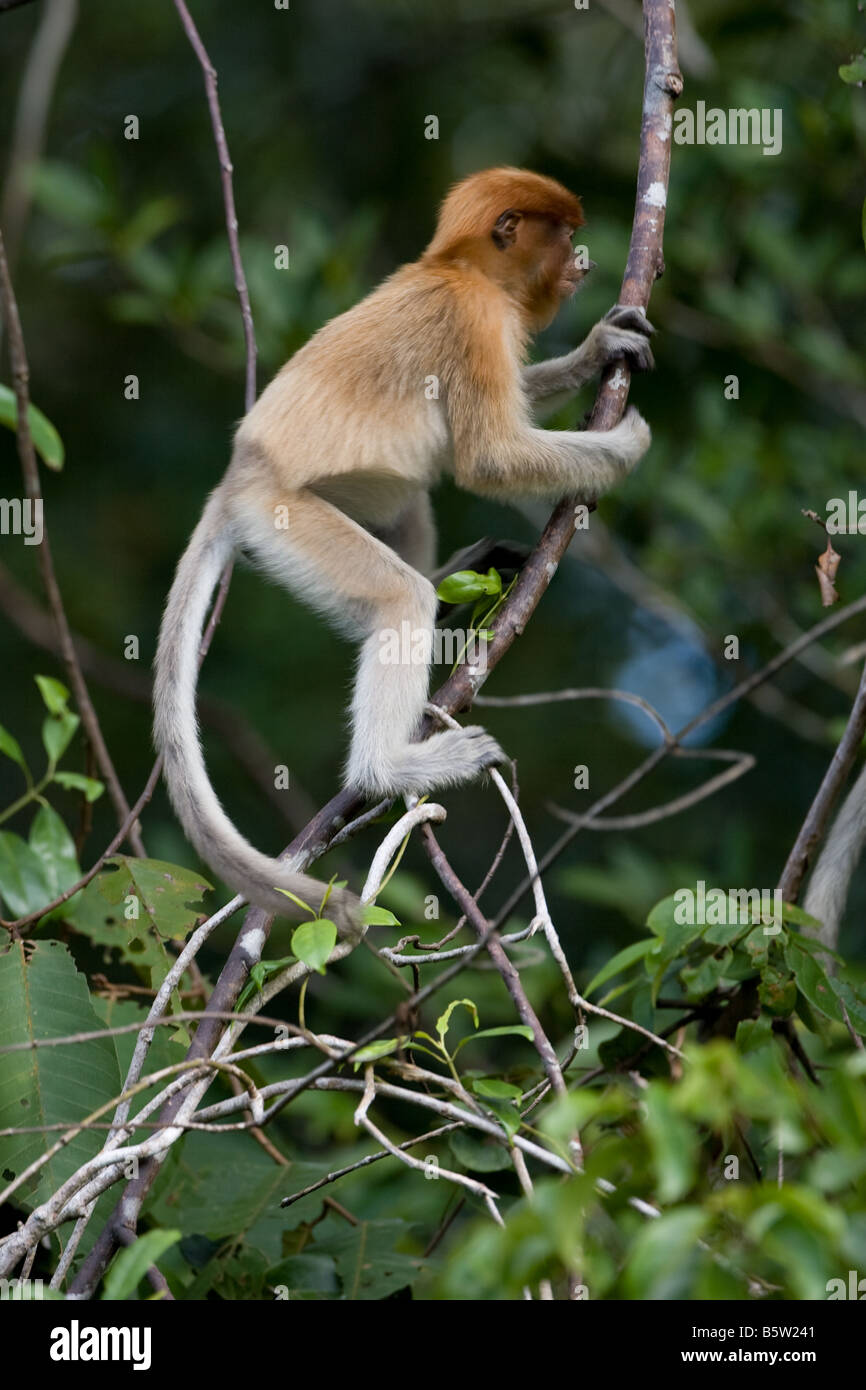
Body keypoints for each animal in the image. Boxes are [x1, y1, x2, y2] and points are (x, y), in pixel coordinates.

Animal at [154, 167, 654, 937]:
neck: (456, 268)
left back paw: (456, 581)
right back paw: (387, 769)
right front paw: (626, 445)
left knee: (407, 498)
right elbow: (490, 456)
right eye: (564, 232)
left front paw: (603, 347)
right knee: (397, 595)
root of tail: (238, 476)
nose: (582, 261)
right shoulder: (476, 317)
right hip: (288, 519)